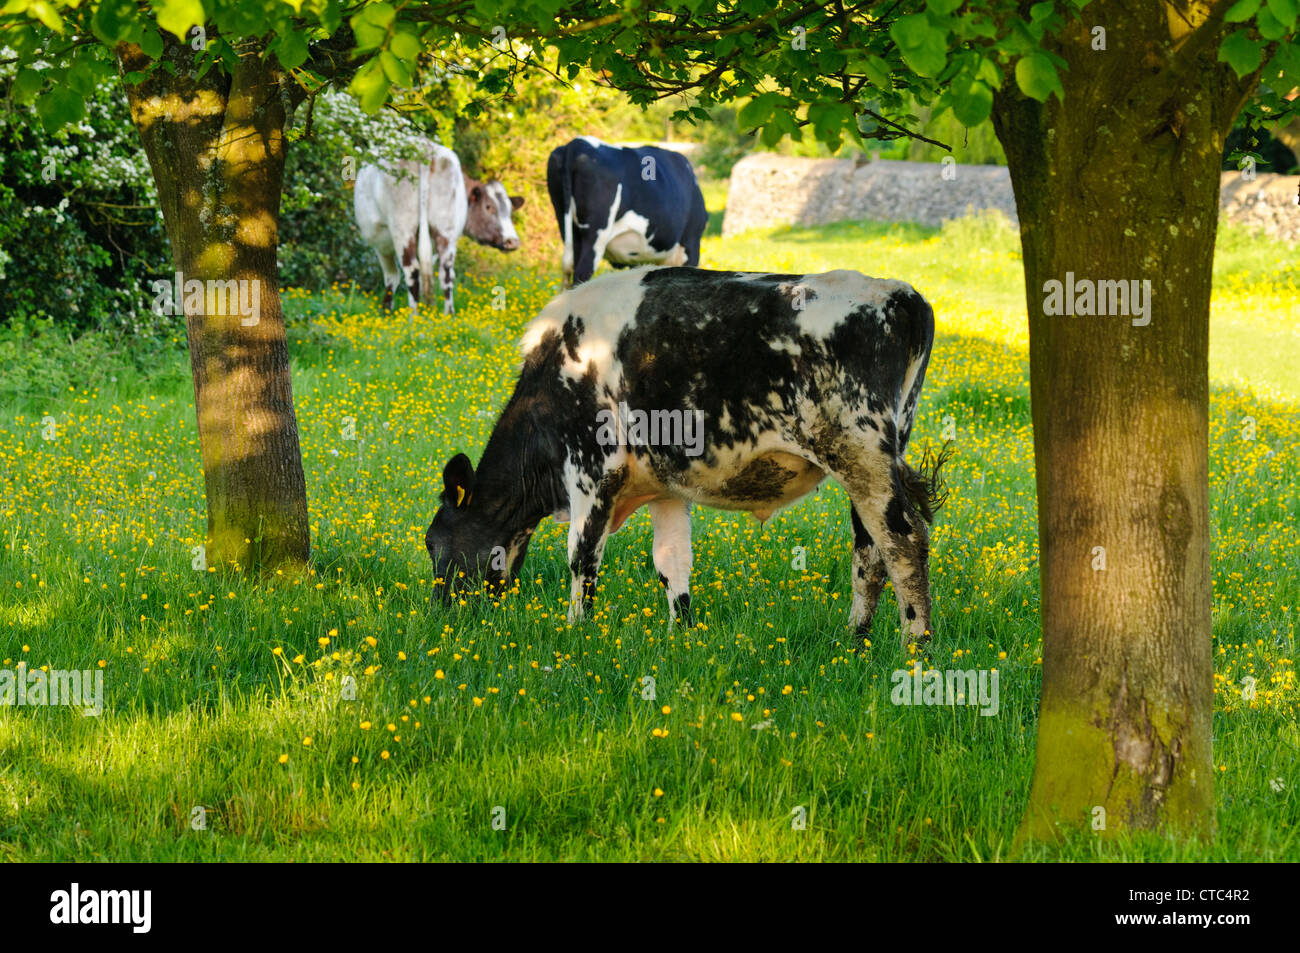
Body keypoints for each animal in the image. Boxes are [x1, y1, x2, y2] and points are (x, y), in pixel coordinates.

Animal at [354, 138, 524, 314]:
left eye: (509, 209)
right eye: (488, 207)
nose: (512, 241)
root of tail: (424, 148)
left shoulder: (380, 242)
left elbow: (392, 277)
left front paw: (386, 311)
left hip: (402, 229)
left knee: (412, 271)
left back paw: (415, 316)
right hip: (445, 229)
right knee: (446, 272)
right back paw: (448, 315)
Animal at [424, 266, 950, 648]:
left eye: (431, 543)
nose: (441, 611)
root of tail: (899, 294)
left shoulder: (593, 470)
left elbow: (582, 557)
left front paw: (576, 630)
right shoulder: (663, 487)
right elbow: (671, 561)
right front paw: (681, 631)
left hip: (860, 452)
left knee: (903, 540)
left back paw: (914, 644)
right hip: (875, 455)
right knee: (869, 548)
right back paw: (854, 638)